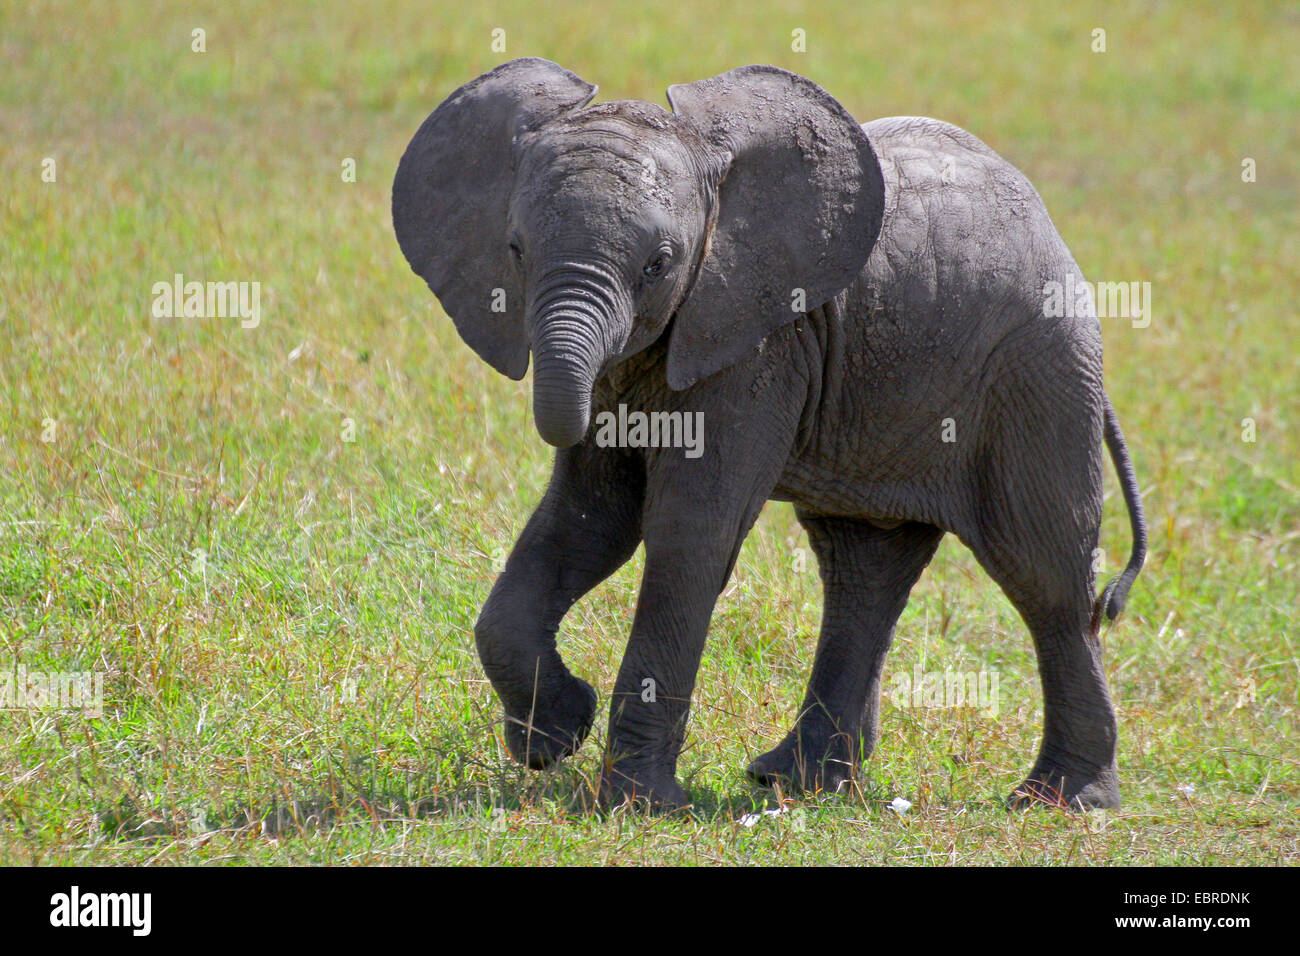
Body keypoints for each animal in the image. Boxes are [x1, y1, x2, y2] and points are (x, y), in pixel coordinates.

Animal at [392, 58, 1147, 811]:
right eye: (515, 250)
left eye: (659, 263)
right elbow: (590, 521)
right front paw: (554, 737)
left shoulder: (760, 346)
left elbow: (690, 533)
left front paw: (636, 805)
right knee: (862, 568)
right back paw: (795, 781)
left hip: (1036, 375)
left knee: (1044, 573)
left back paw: (1063, 799)